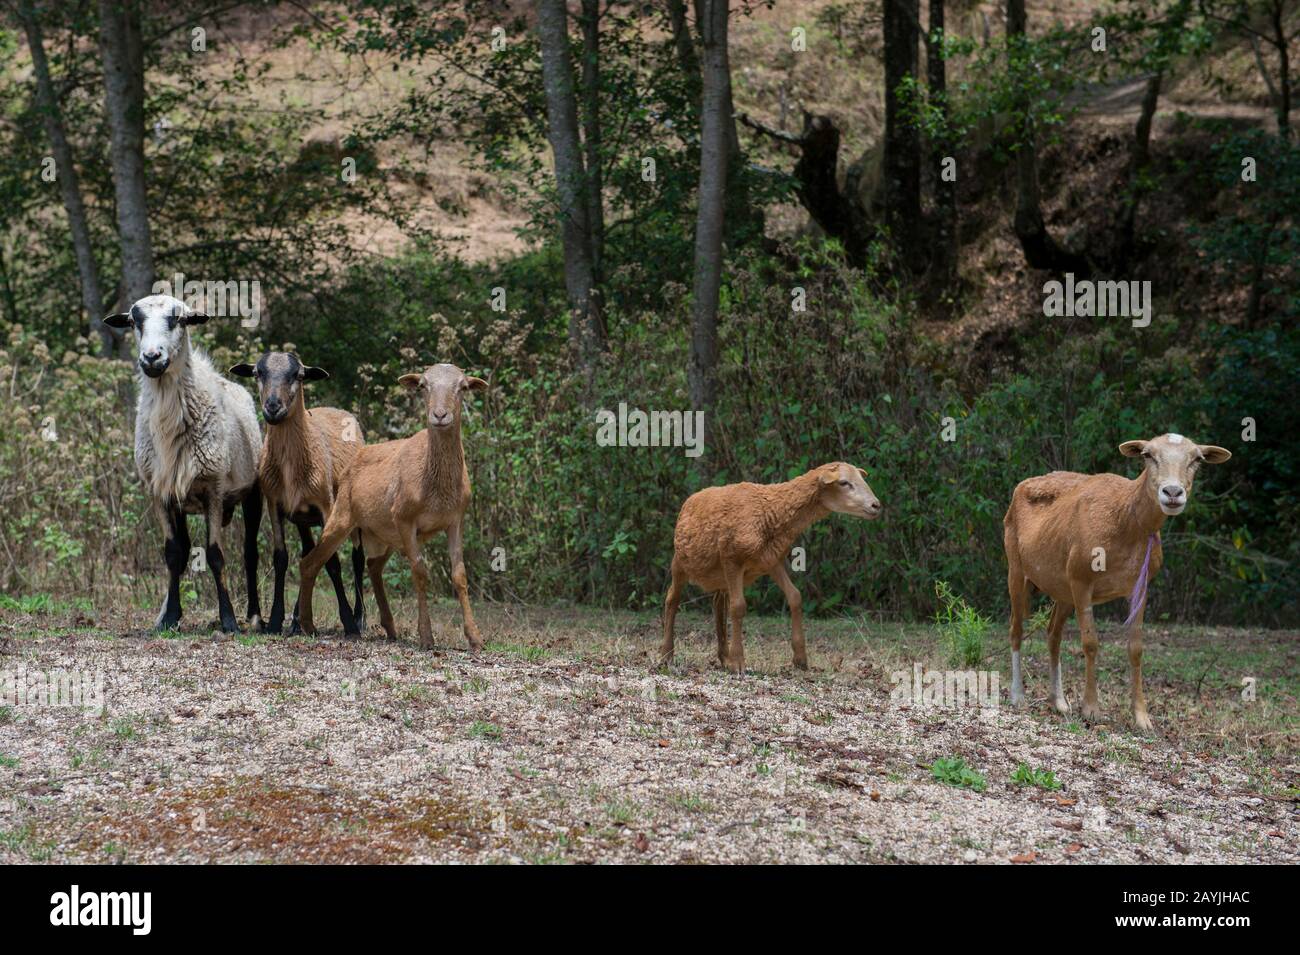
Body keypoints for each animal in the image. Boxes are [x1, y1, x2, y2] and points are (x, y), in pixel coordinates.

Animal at [103, 295, 262, 632]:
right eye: (134, 322)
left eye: (178, 320)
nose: (151, 358)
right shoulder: (160, 491)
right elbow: (173, 554)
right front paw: (169, 618)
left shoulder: (214, 488)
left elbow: (215, 555)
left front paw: (229, 620)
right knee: (186, 546)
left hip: (253, 491)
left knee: (250, 552)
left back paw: (255, 616)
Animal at [229, 352, 366, 635]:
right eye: (257, 373)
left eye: (299, 376)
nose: (273, 407)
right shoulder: (276, 504)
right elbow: (281, 558)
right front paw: (276, 620)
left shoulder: (326, 505)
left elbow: (332, 562)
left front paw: (349, 623)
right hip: (303, 518)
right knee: (307, 556)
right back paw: (296, 620)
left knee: (358, 558)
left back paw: (360, 618)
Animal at [296, 364, 487, 650]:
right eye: (423, 385)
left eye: (462, 387)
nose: (440, 415)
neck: (436, 491)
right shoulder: (404, 517)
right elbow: (420, 571)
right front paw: (426, 636)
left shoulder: (456, 519)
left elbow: (460, 574)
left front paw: (475, 637)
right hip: (342, 515)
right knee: (310, 562)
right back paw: (307, 625)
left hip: (385, 534)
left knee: (373, 566)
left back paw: (389, 627)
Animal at [659, 462, 883, 673]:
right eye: (844, 482)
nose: (876, 505)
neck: (773, 512)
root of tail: (693, 498)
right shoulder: (732, 559)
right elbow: (738, 607)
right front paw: (738, 663)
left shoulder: (771, 560)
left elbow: (795, 596)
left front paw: (800, 659)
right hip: (680, 562)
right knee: (672, 599)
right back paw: (667, 656)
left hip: (719, 574)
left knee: (718, 603)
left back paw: (723, 657)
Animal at [1004, 433, 1231, 732]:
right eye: (1148, 455)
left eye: (1197, 459)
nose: (1172, 492)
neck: (1125, 524)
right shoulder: (1081, 577)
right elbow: (1090, 642)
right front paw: (1091, 709)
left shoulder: (1139, 585)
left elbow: (1136, 648)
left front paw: (1142, 717)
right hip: (1016, 566)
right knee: (1016, 628)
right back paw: (1018, 696)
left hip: (1062, 587)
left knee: (1053, 633)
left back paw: (1060, 702)